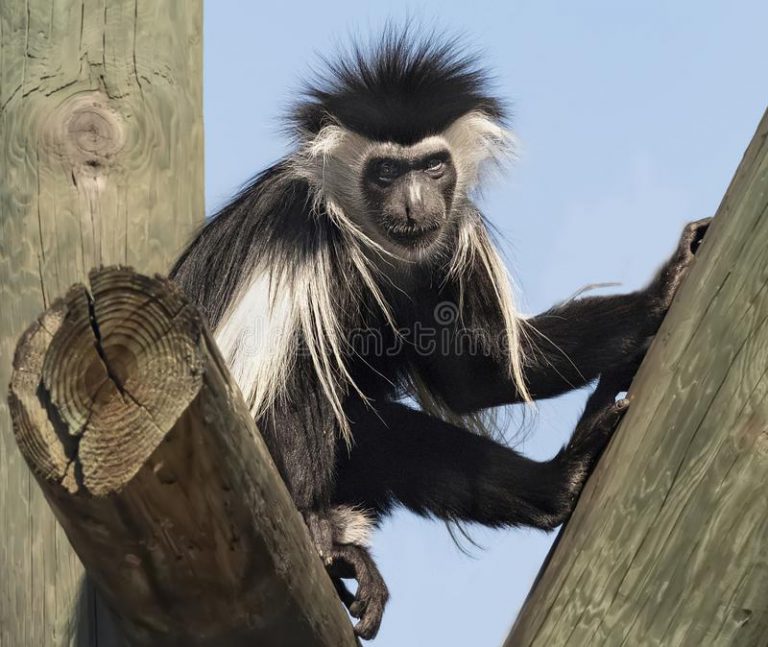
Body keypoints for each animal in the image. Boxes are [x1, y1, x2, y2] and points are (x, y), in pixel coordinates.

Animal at [170, 29, 710, 640]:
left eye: (432, 166)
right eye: (385, 172)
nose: (414, 204)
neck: (370, 240)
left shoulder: (443, 249)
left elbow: (476, 375)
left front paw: (664, 289)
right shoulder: (298, 239)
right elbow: (282, 381)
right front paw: (316, 529)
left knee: (387, 431)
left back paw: (558, 484)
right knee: (302, 382)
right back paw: (327, 541)